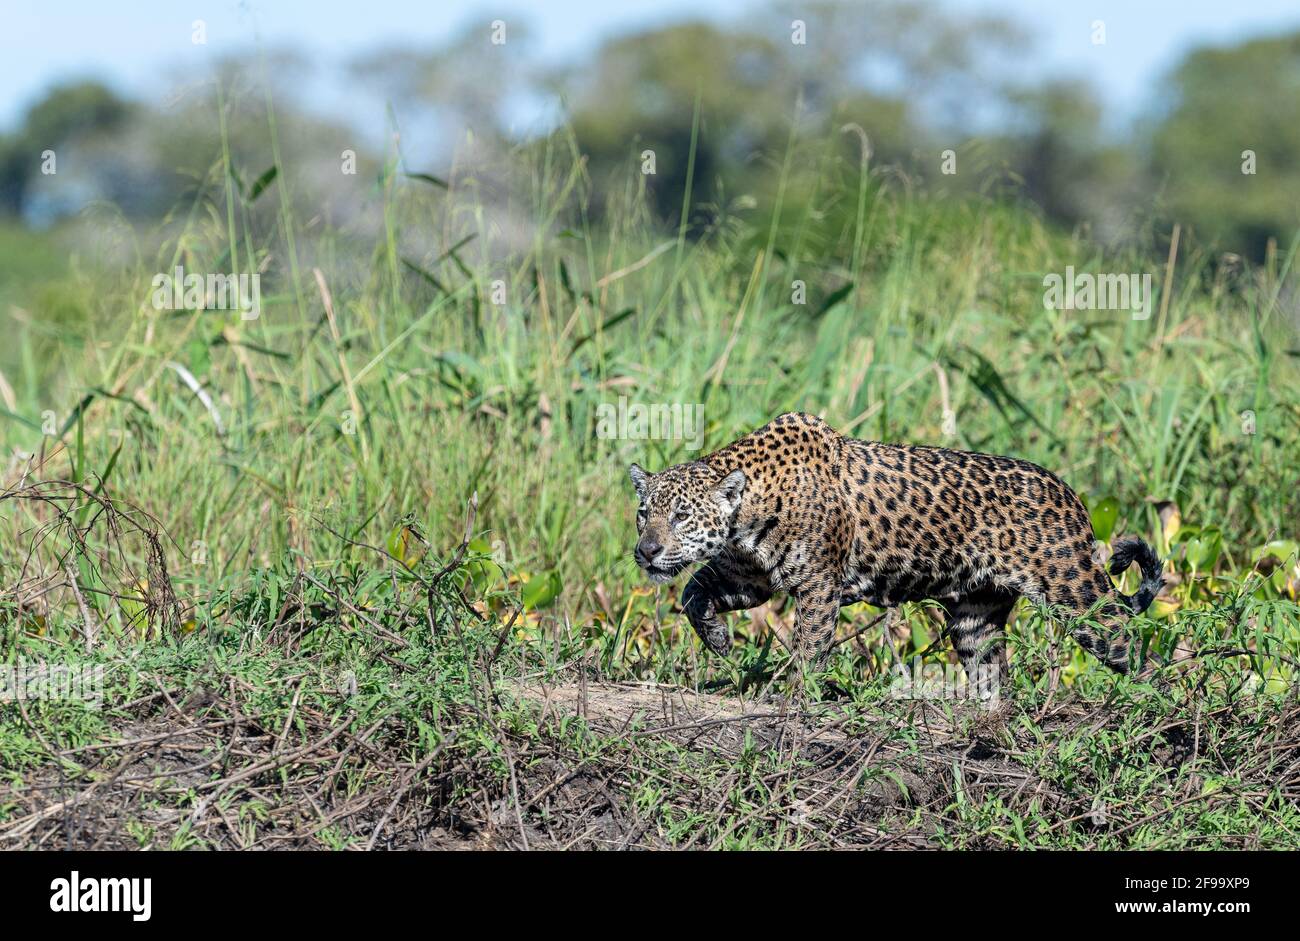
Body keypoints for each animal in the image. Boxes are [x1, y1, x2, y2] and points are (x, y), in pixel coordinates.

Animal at [627, 411, 1164, 694]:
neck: (746, 516)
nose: (646, 551)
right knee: (993, 675)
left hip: (1076, 593)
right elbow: (694, 591)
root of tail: (1070, 493)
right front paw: (719, 640)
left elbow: (808, 645)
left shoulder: (819, 584)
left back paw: (1161, 714)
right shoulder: (749, 579)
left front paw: (792, 697)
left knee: (1138, 648)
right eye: (643, 513)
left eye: (681, 516)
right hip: (976, 614)